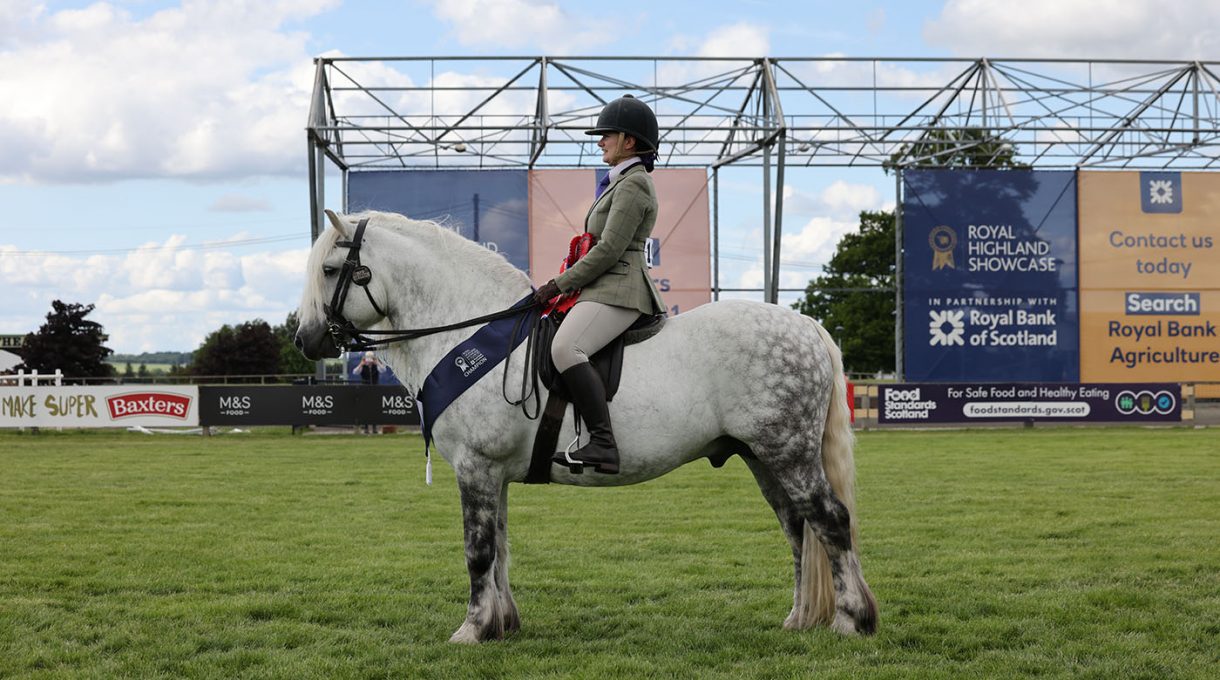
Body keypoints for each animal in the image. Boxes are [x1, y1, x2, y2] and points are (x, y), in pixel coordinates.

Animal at [294, 210, 878, 643]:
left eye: (330, 270)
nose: (305, 340)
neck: (469, 331)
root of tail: (805, 324)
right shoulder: (492, 474)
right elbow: (500, 545)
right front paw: (502, 625)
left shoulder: (476, 468)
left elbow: (478, 550)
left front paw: (472, 630)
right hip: (762, 456)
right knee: (797, 527)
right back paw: (799, 619)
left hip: (787, 452)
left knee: (829, 521)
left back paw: (852, 620)